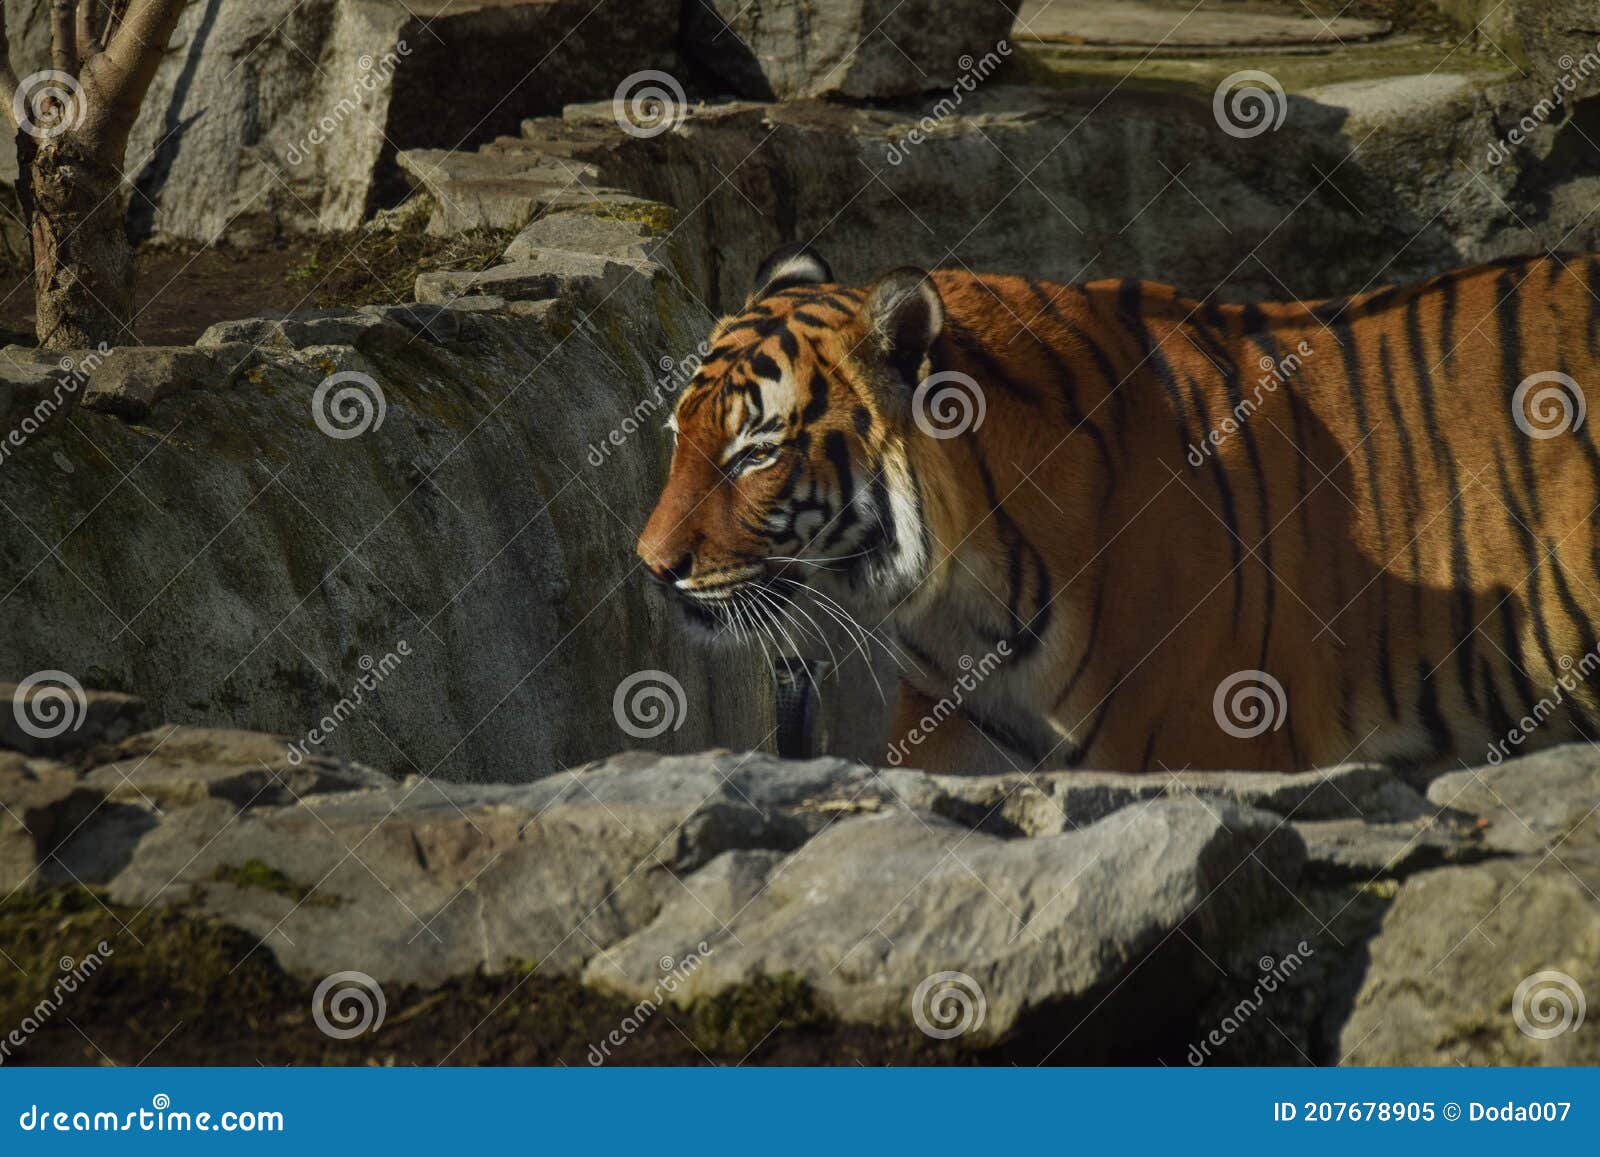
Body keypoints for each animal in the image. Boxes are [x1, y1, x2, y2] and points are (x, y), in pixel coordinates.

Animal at [636, 242, 1600, 774]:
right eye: (680, 434)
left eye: (755, 453)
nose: (651, 568)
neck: (958, 599)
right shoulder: (963, 725)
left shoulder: (1213, 740)